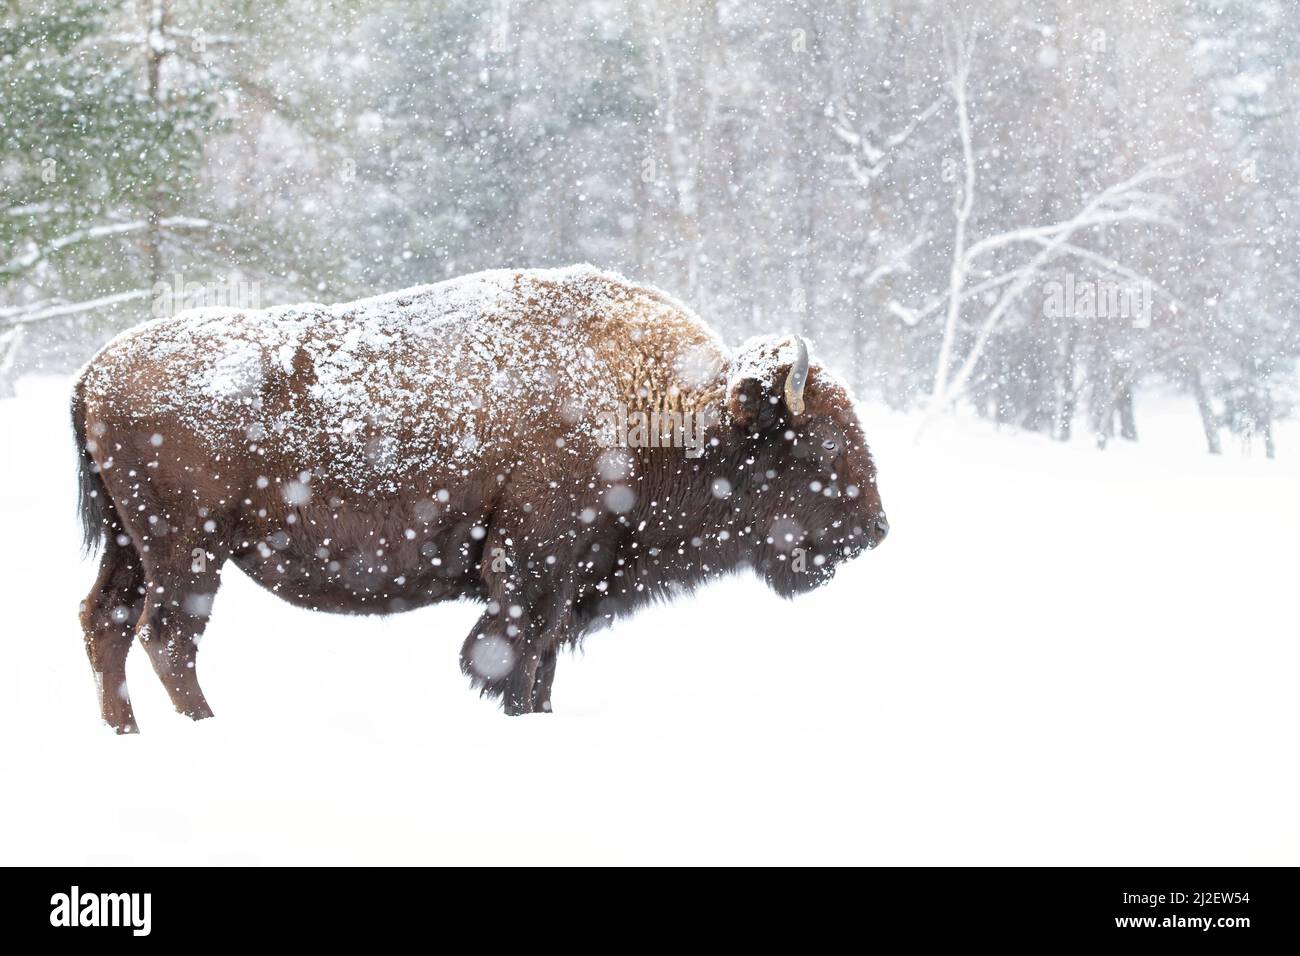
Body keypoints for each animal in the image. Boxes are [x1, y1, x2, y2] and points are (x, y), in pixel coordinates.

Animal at [73, 265, 888, 732]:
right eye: (817, 447)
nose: (875, 529)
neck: (663, 404)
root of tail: (95, 370)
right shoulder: (535, 569)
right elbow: (510, 659)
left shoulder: (566, 581)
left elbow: (544, 664)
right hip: (190, 550)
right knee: (167, 636)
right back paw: (208, 729)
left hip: (132, 545)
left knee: (106, 623)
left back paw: (126, 732)